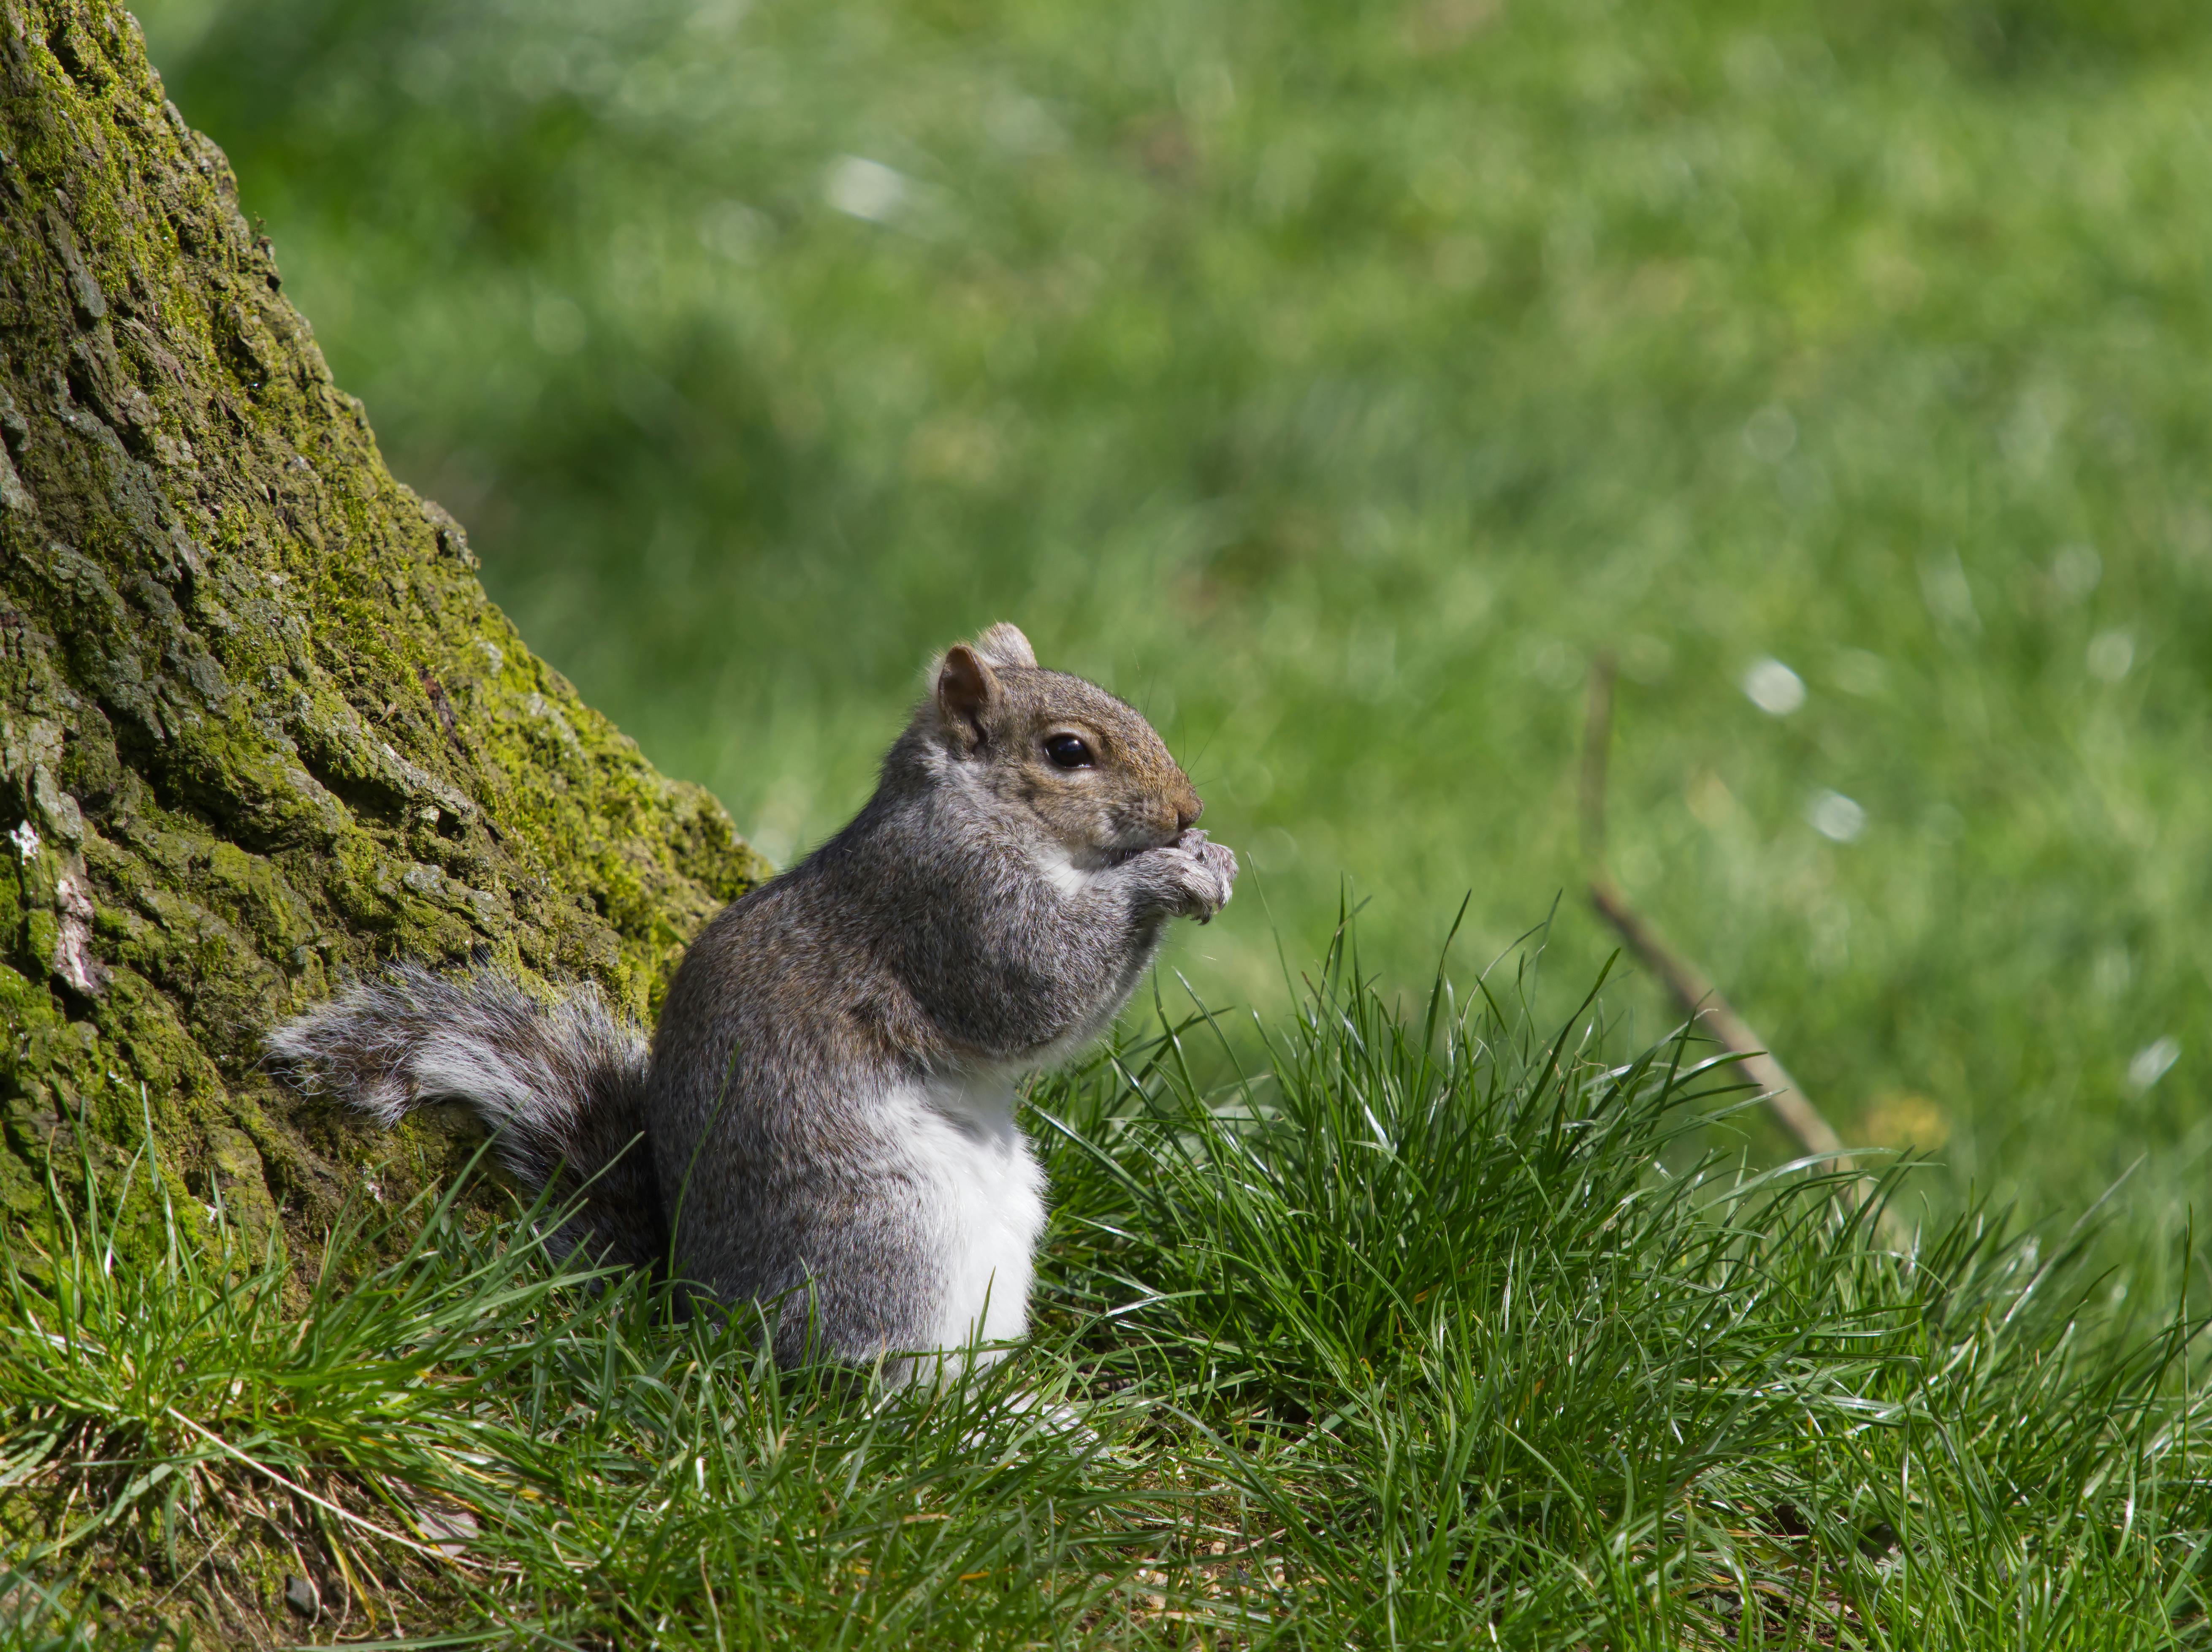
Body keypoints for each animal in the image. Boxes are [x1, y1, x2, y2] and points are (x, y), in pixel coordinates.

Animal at [270, 623, 1236, 1374]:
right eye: (1068, 752)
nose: (1190, 811)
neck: (976, 811)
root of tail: (703, 1315)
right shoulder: (952, 901)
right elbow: (1036, 987)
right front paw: (1164, 878)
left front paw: (1210, 859)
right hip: (888, 1232)